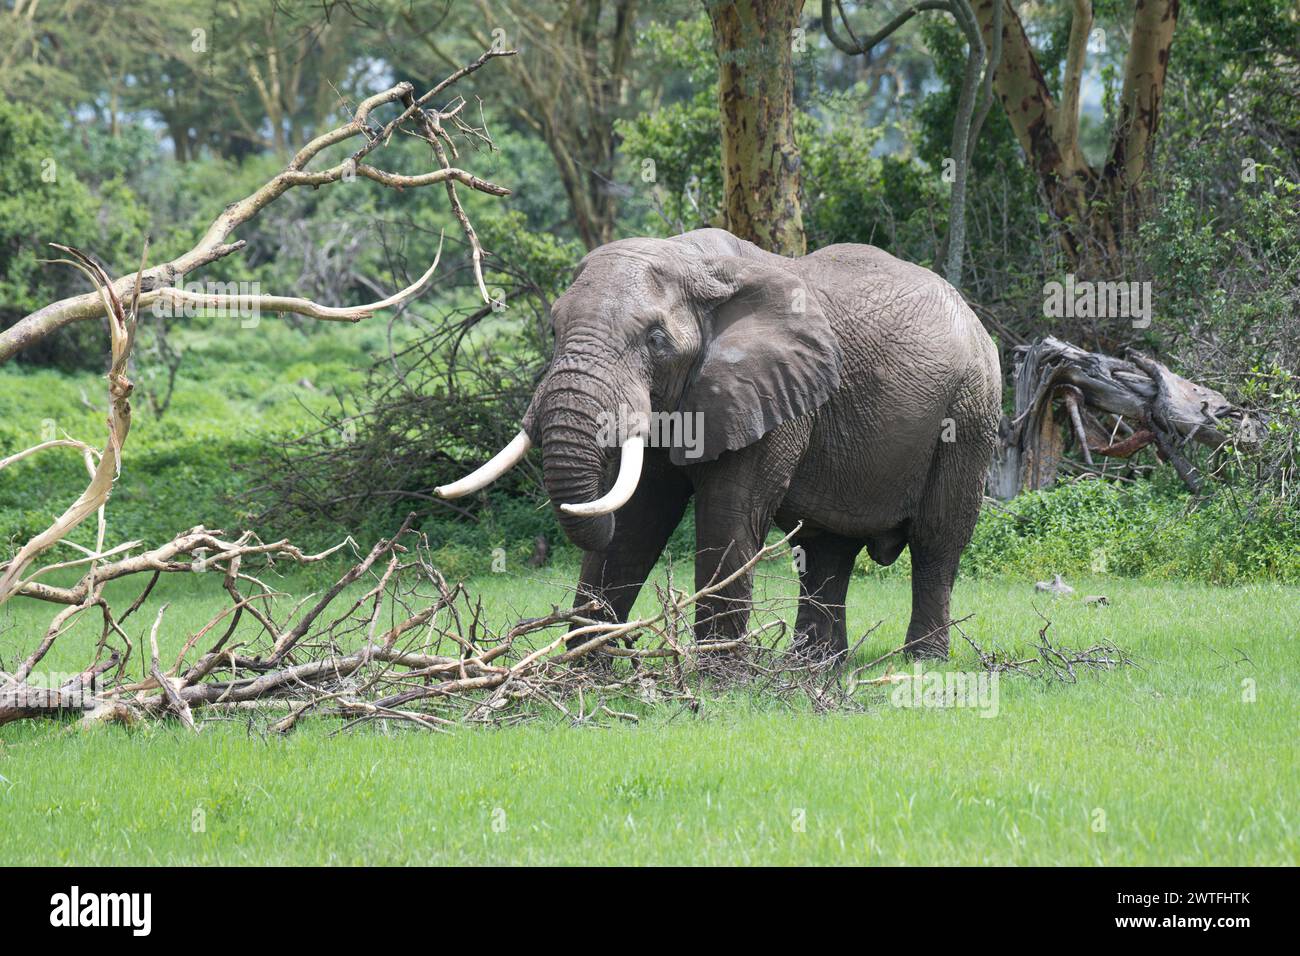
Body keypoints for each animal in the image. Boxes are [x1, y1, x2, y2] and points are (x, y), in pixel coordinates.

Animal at [437, 228, 1001, 659]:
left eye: (655, 340)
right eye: (554, 330)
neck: (693, 262)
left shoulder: (772, 395)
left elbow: (729, 516)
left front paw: (717, 680)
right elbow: (637, 522)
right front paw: (585, 675)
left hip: (971, 409)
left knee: (937, 541)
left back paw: (922, 662)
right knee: (826, 547)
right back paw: (812, 669)